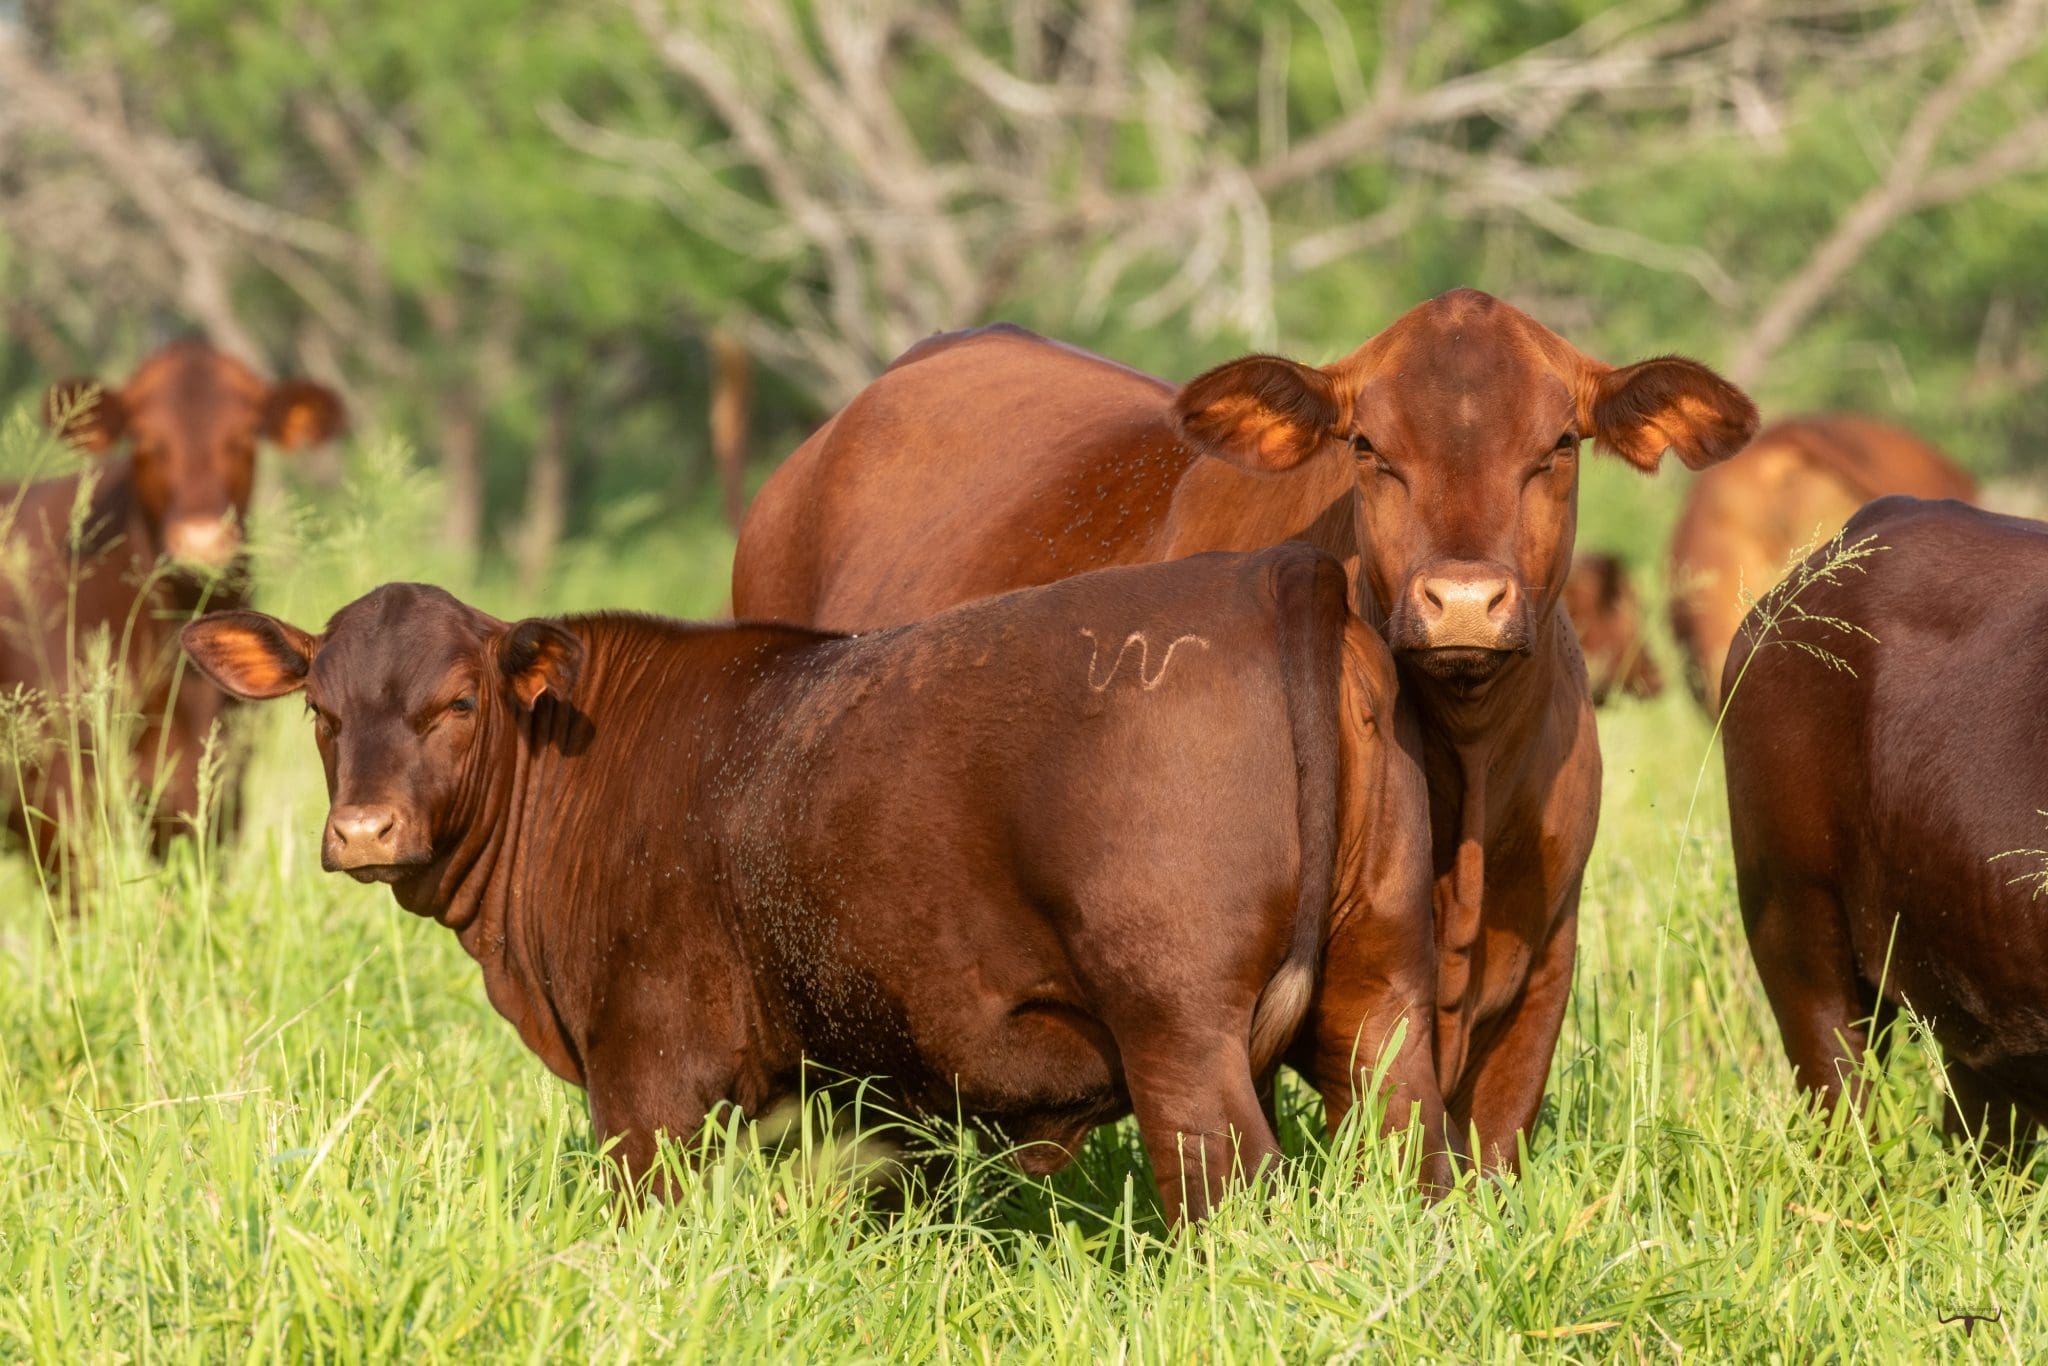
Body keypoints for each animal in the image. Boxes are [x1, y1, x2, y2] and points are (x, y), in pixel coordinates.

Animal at [180, 545, 1453, 1220]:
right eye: (319, 709)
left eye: (454, 701)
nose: (363, 828)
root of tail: (1268, 569)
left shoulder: (646, 1075)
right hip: (1380, 1003)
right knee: (1414, 1162)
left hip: (1179, 1033)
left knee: (1228, 1191)